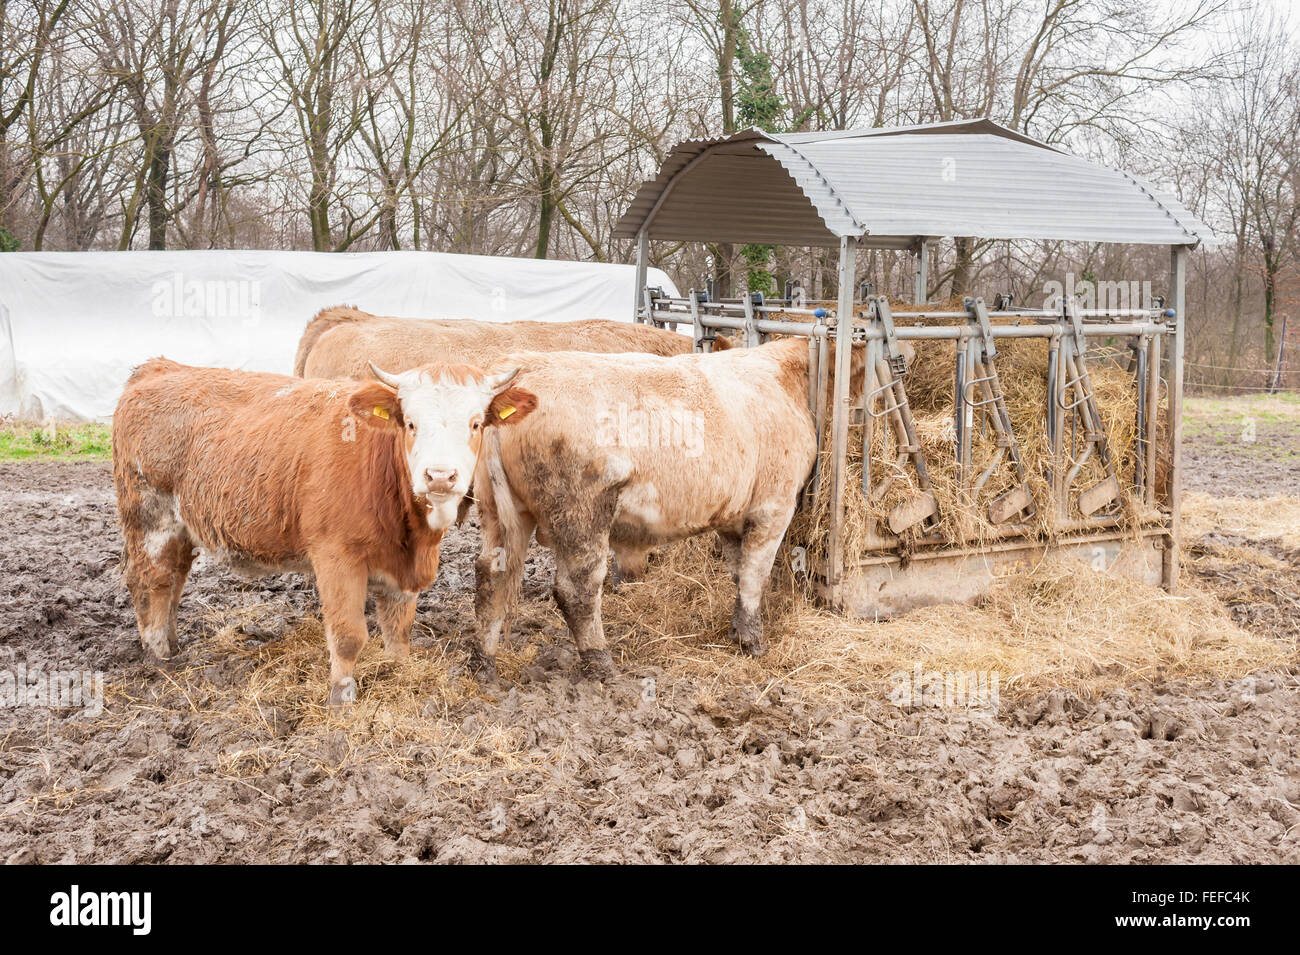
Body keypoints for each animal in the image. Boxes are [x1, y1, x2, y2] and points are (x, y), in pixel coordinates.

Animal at [112, 357, 536, 708]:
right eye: (411, 423)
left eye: (476, 423)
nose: (440, 475)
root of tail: (158, 367)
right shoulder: (336, 556)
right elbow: (348, 636)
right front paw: (341, 699)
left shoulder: (403, 569)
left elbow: (398, 629)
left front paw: (399, 674)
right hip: (150, 517)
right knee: (150, 581)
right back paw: (159, 658)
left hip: (179, 529)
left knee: (174, 579)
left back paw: (172, 645)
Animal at [469, 336, 858, 682]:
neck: (787, 381)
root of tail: (525, 367)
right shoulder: (773, 505)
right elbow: (754, 575)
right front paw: (752, 641)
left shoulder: (732, 515)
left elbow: (737, 570)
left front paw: (736, 630)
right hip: (582, 513)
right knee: (577, 589)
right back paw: (602, 664)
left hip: (495, 510)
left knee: (490, 576)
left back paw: (483, 664)